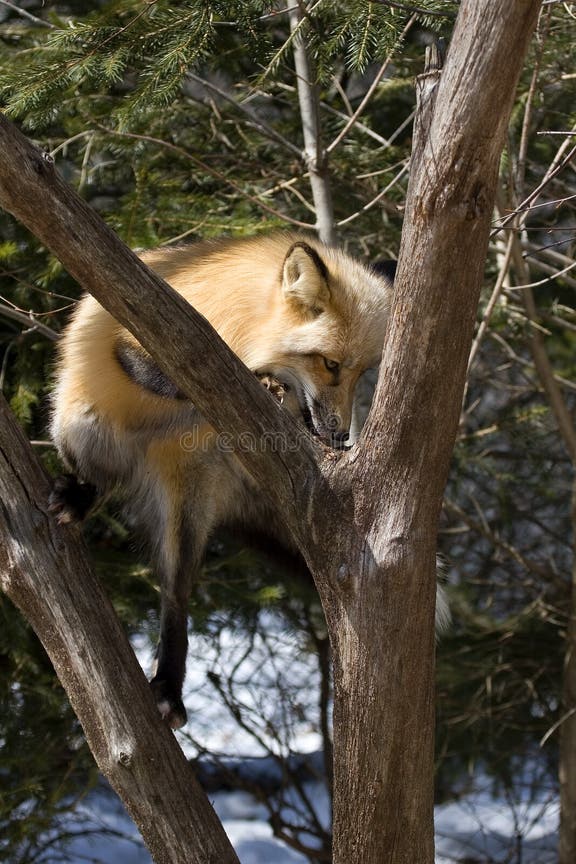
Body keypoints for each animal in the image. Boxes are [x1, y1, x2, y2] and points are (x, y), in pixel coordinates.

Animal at [49, 232, 396, 728]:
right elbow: (167, 377)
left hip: (186, 519)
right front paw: (257, 378)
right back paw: (79, 496)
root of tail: (147, 459)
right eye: (329, 364)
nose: (338, 437)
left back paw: (168, 688)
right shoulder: (133, 330)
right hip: (79, 425)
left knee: (175, 600)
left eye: (362, 372)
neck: (240, 322)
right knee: (101, 479)